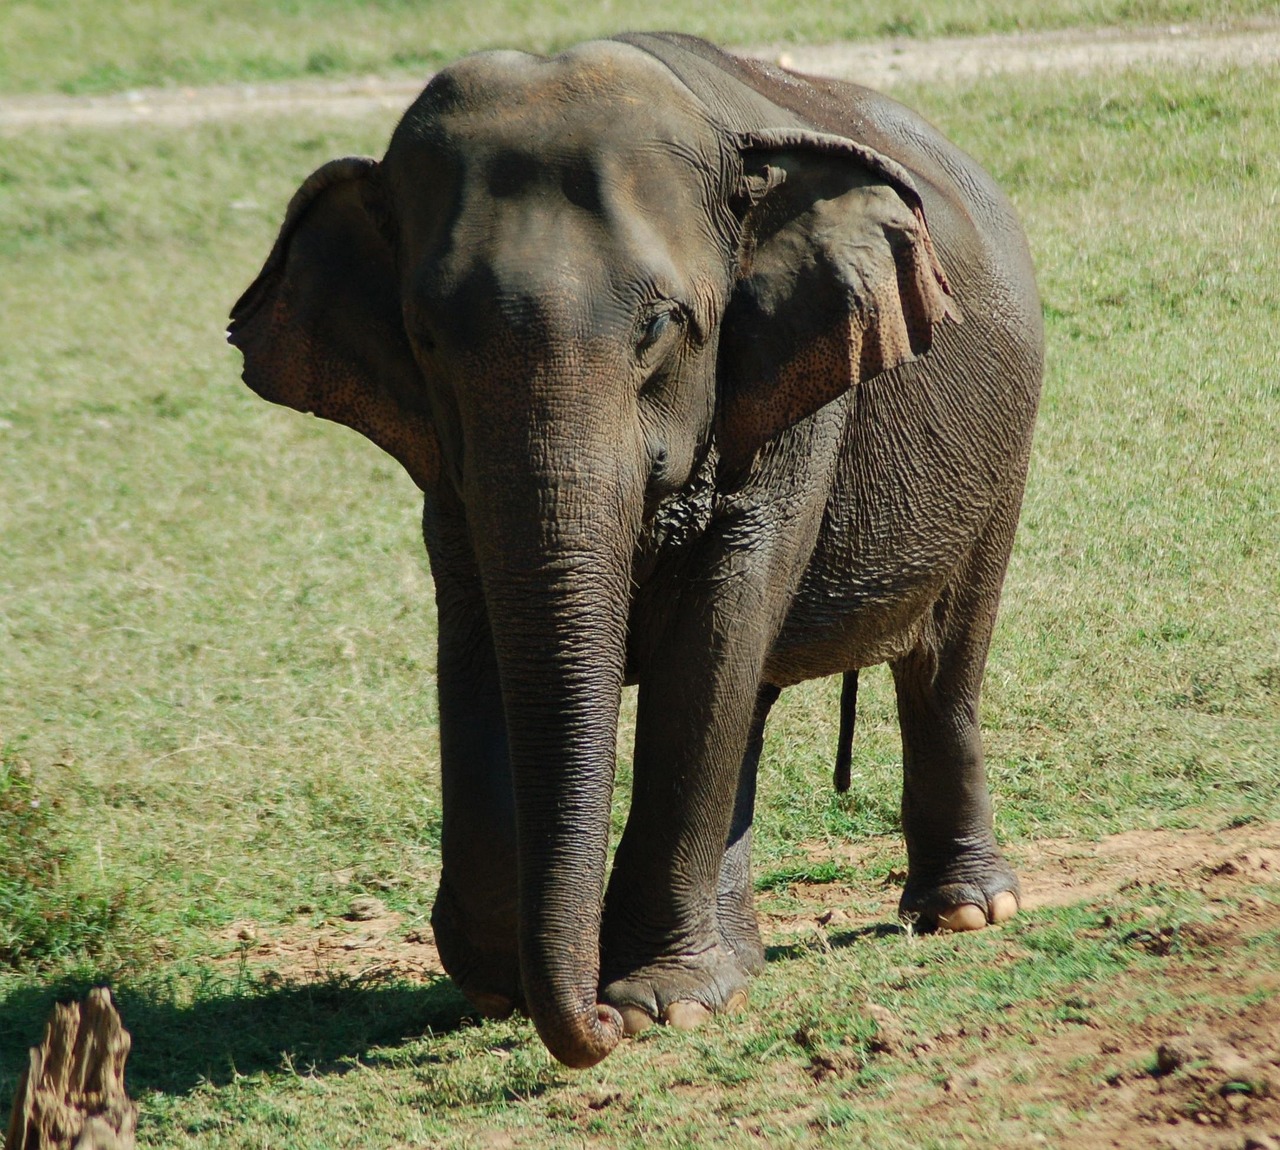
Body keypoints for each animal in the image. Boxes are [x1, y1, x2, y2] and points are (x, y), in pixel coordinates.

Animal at [228, 32, 1043, 1069]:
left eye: (662, 325)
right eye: (425, 338)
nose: (599, 1025)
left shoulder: (793, 392)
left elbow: (715, 627)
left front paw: (661, 1004)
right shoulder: (449, 474)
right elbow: (481, 633)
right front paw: (501, 981)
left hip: (1005, 450)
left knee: (942, 660)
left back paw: (967, 912)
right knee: (754, 698)